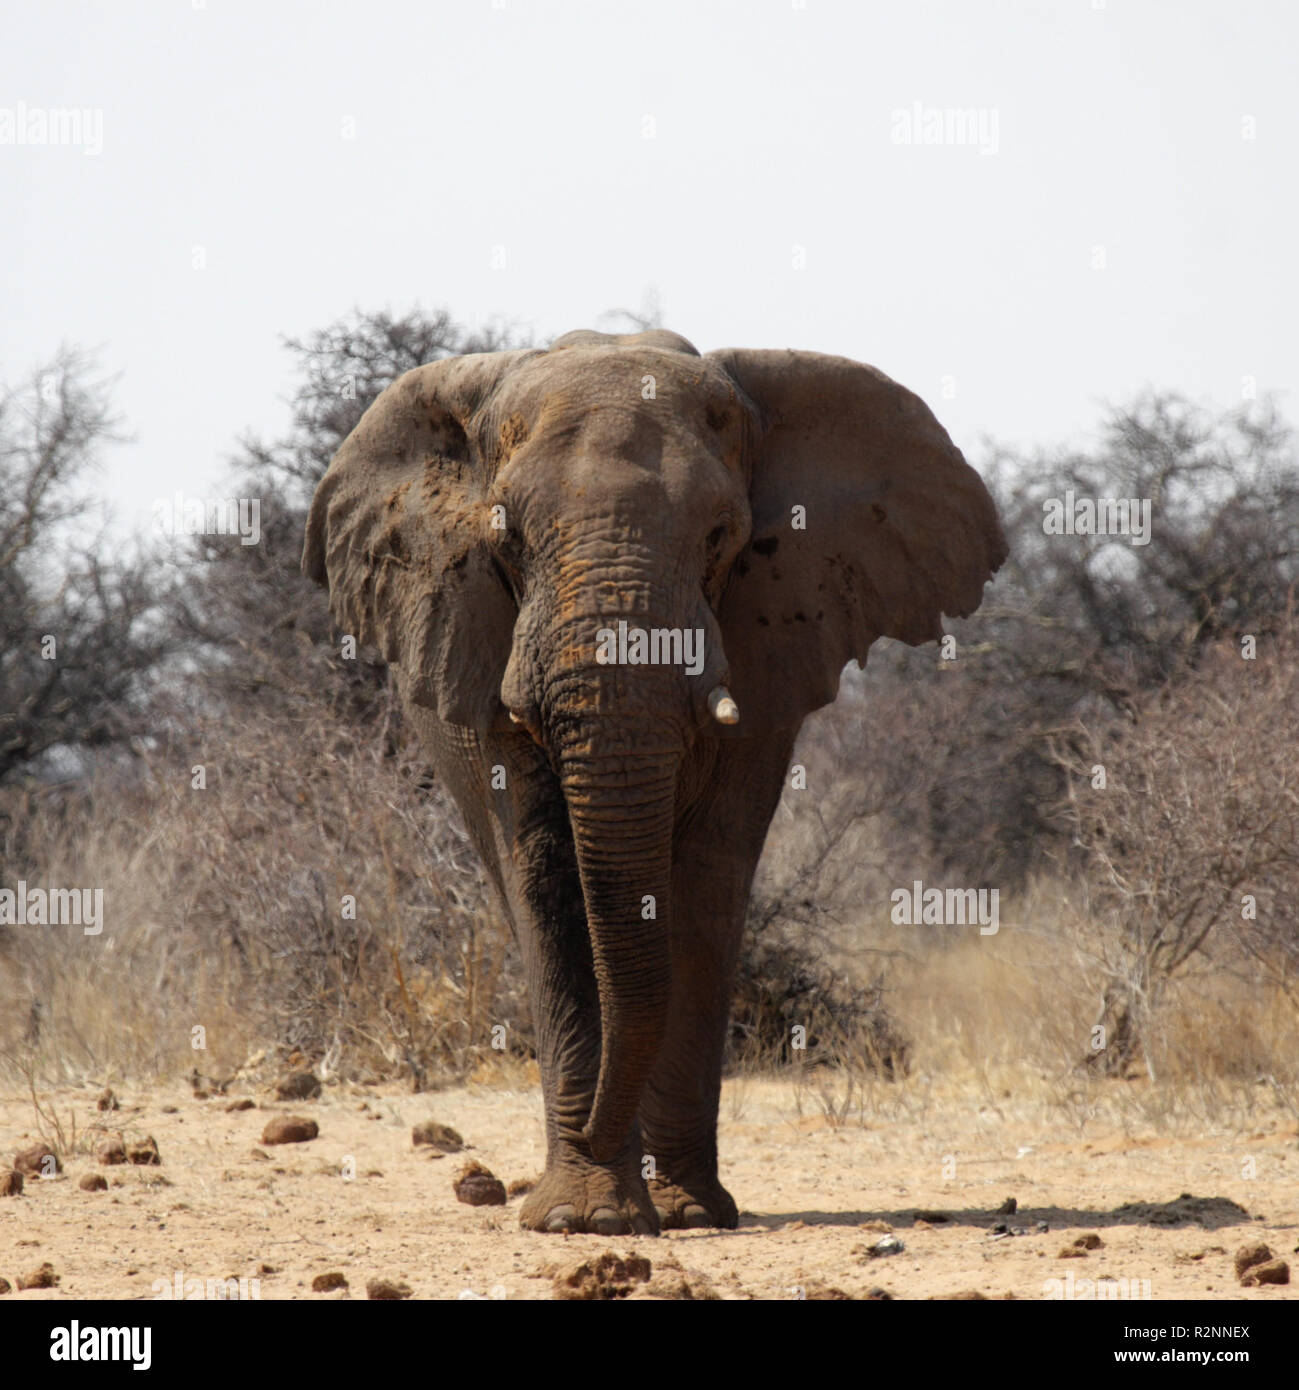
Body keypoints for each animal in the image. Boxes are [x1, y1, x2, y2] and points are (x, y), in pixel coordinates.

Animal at [302, 328, 1006, 1234]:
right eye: (507, 540)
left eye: (720, 535)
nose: (596, 1138)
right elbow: (547, 878)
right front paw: (585, 1220)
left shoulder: (767, 638)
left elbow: (708, 872)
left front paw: (684, 1214)